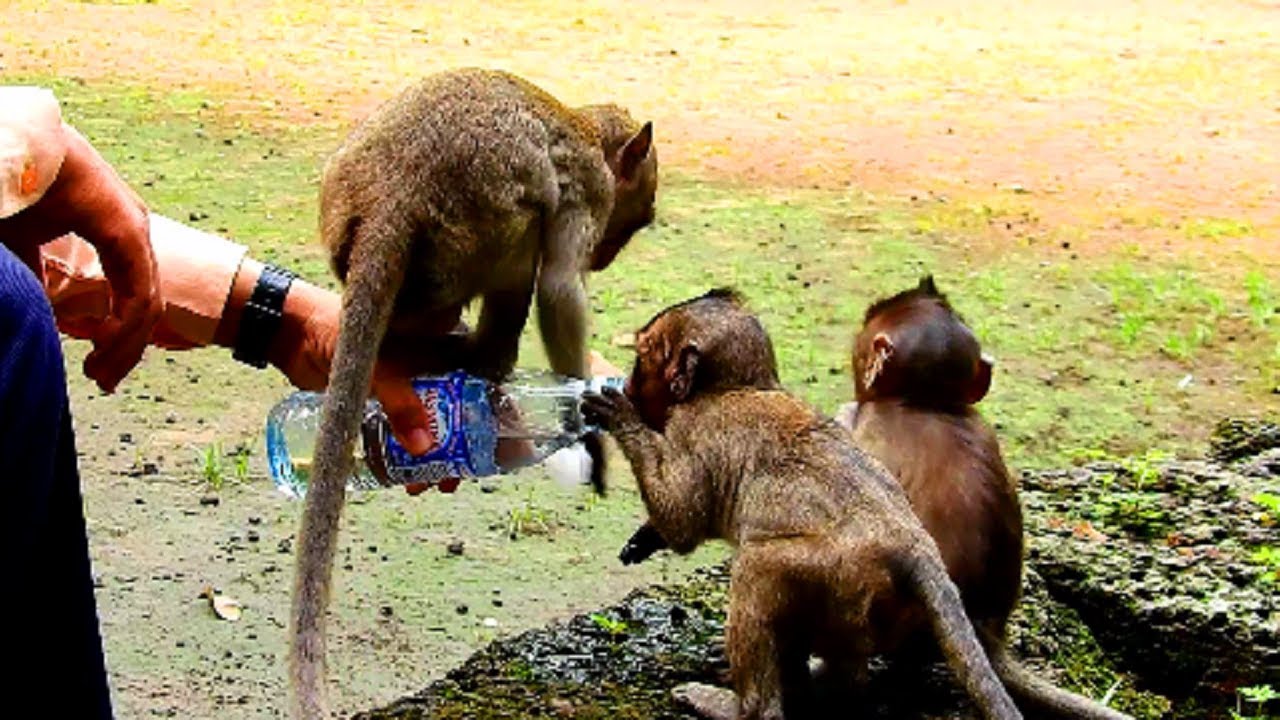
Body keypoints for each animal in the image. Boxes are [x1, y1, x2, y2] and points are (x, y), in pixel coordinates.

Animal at [289, 68, 657, 720]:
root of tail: (393, 195)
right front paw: (586, 429)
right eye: (636, 220)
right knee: (531, 236)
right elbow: (560, 286)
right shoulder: (591, 188)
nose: (608, 255)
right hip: (477, 235)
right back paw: (484, 359)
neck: (585, 125)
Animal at [582, 289, 1022, 720]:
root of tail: (913, 546)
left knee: (757, 569)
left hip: (836, 574)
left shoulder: (694, 430)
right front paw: (645, 537)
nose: (631, 385)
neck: (739, 387)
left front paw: (620, 414)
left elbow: (683, 523)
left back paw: (744, 708)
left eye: (643, 358)